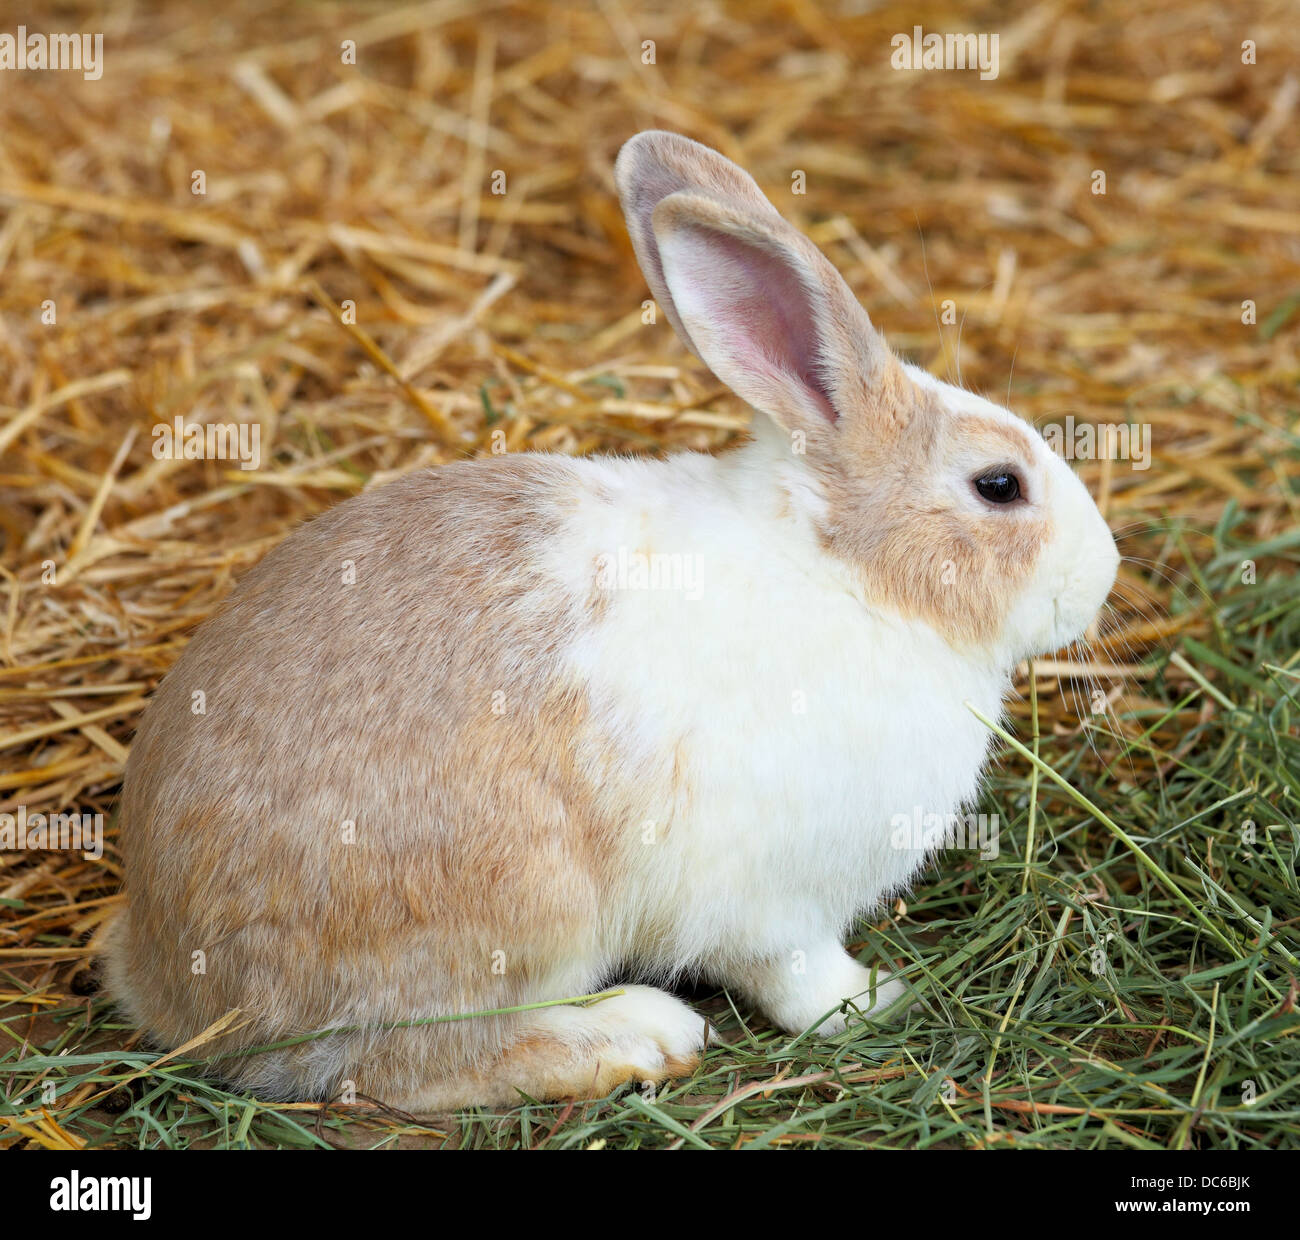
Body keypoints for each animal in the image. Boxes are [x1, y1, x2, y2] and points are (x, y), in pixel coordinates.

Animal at [103, 130, 1119, 1112]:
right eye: (999, 486)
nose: (1104, 572)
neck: (848, 571)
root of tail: (168, 978)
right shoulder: (775, 907)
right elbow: (797, 977)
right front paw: (875, 1001)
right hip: (521, 906)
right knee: (409, 1060)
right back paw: (637, 1036)